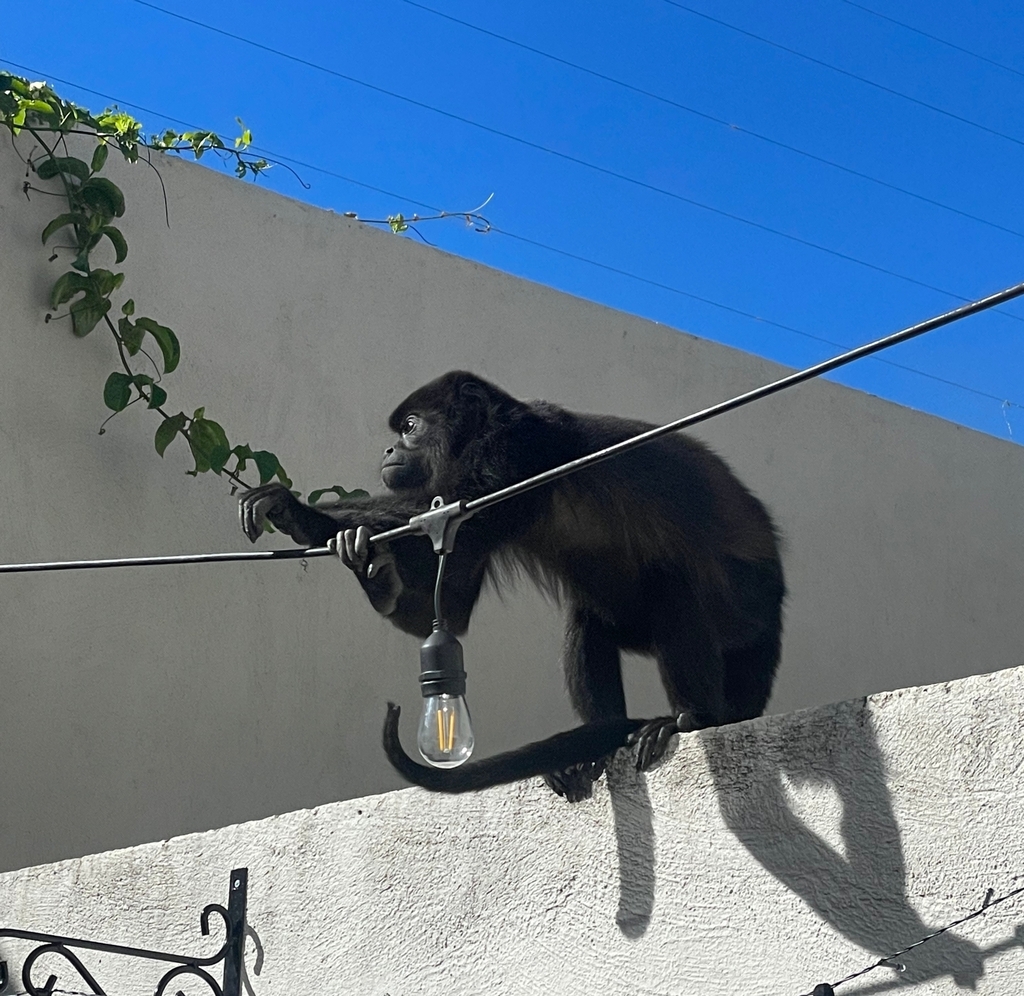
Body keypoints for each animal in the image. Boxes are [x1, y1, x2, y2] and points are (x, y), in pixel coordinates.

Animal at [239, 370, 784, 801]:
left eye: (410, 426)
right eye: (396, 433)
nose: (388, 448)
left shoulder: (515, 448)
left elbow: (461, 518)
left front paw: (301, 514)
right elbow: (451, 606)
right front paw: (371, 567)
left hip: (742, 616)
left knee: (674, 586)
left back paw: (693, 717)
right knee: (588, 621)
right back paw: (597, 741)